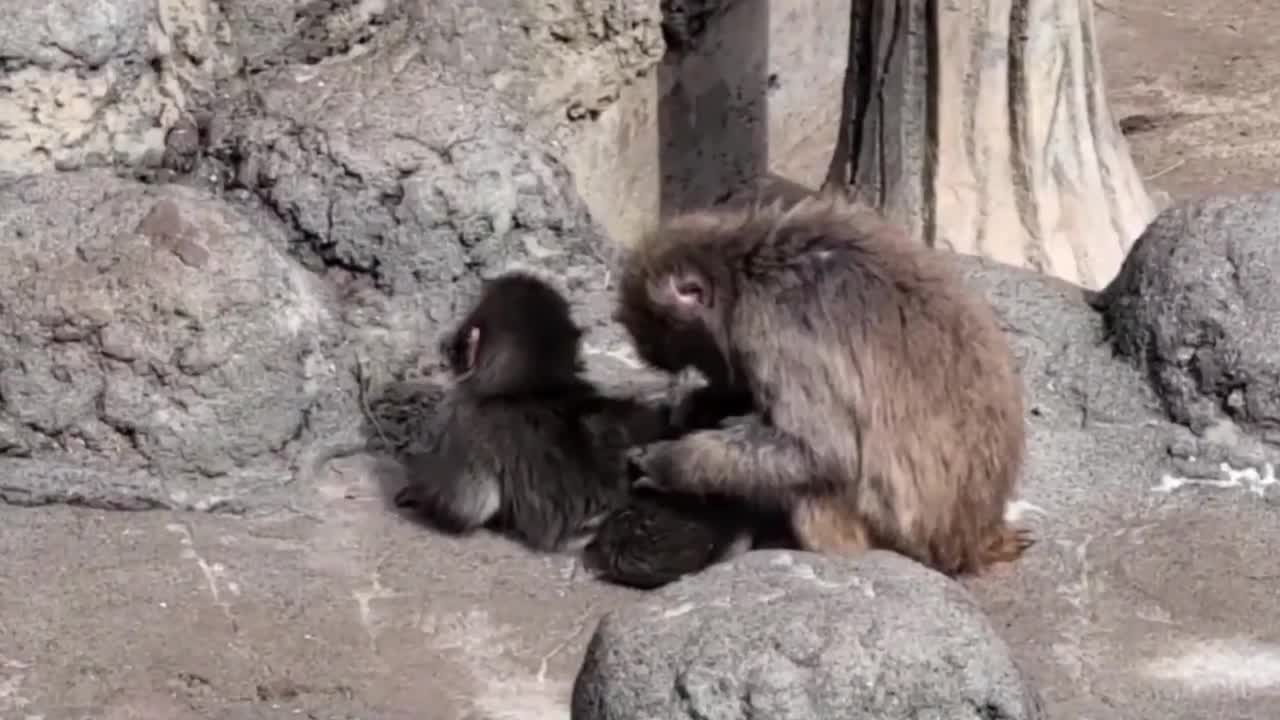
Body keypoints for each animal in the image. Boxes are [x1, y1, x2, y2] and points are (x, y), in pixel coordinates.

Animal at [613, 194, 1035, 578]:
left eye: (689, 353)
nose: (713, 376)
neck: (748, 269)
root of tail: (972, 540)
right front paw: (698, 404)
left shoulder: (774, 326)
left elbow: (822, 452)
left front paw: (669, 462)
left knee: (818, 480)